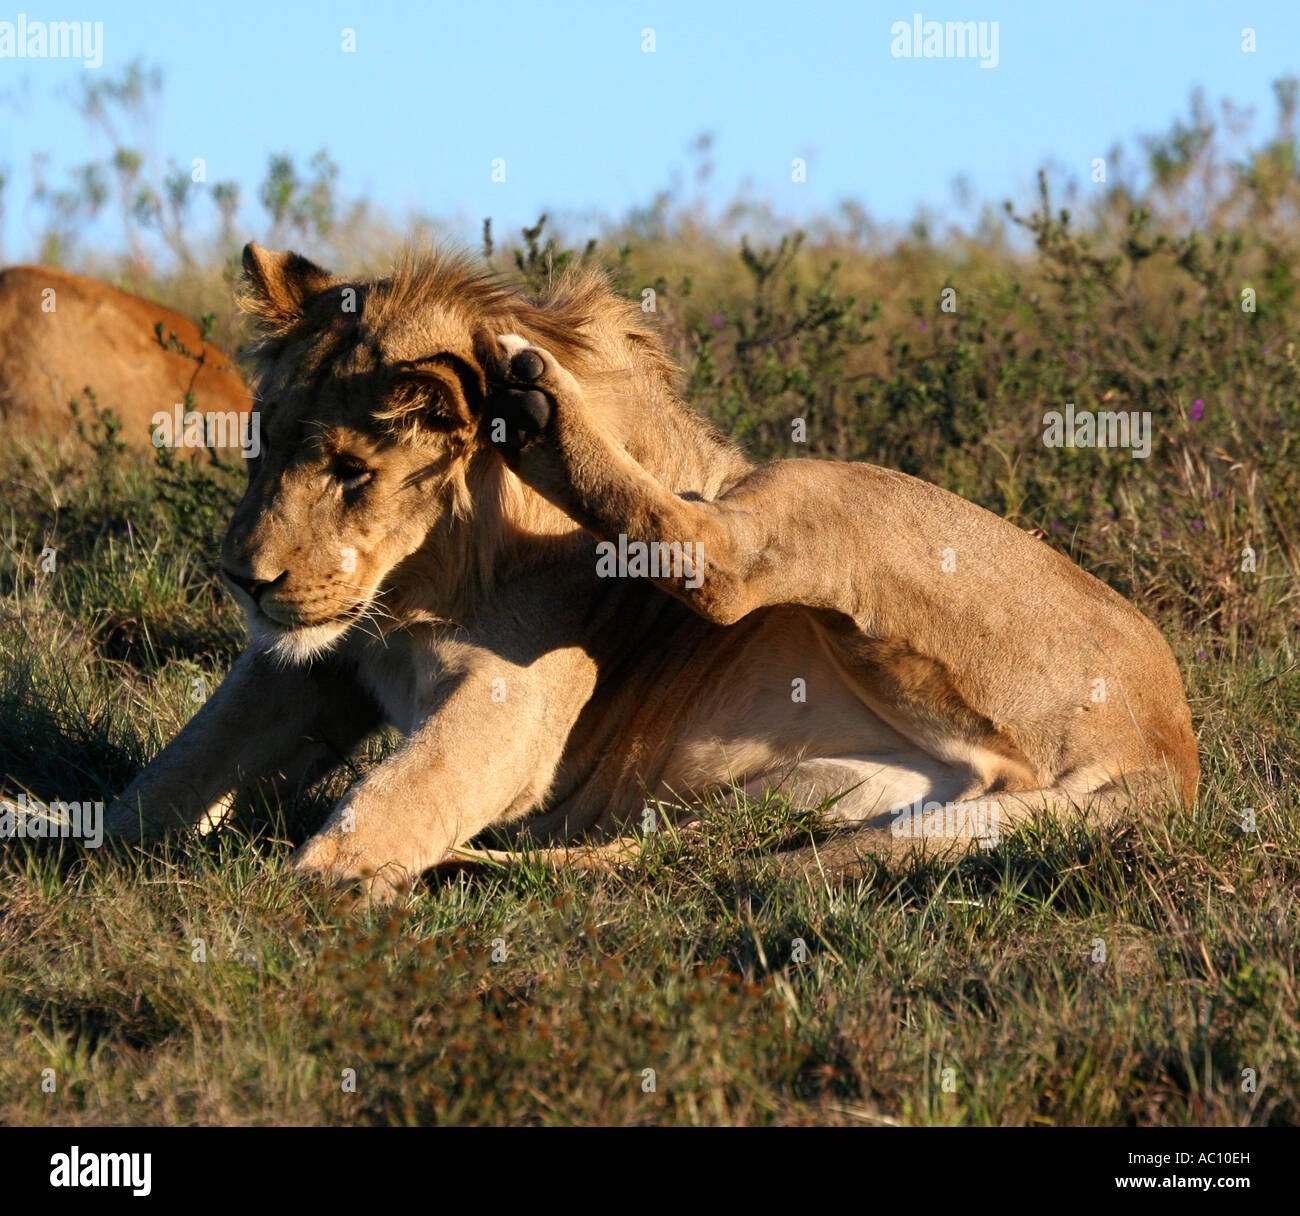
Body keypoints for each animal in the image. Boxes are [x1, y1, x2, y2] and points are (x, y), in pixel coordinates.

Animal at [104, 242, 1199, 901]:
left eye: (350, 472)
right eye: (263, 447)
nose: (242, 580)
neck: (414, 587)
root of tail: (1170, 757)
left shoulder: (515, 700)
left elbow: (411, 782)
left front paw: (318, 884)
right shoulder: (310, 661)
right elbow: (190, 758)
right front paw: (86, 835)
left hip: (832, 482)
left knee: (722, 560)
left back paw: (537, 409)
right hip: (802, 798)